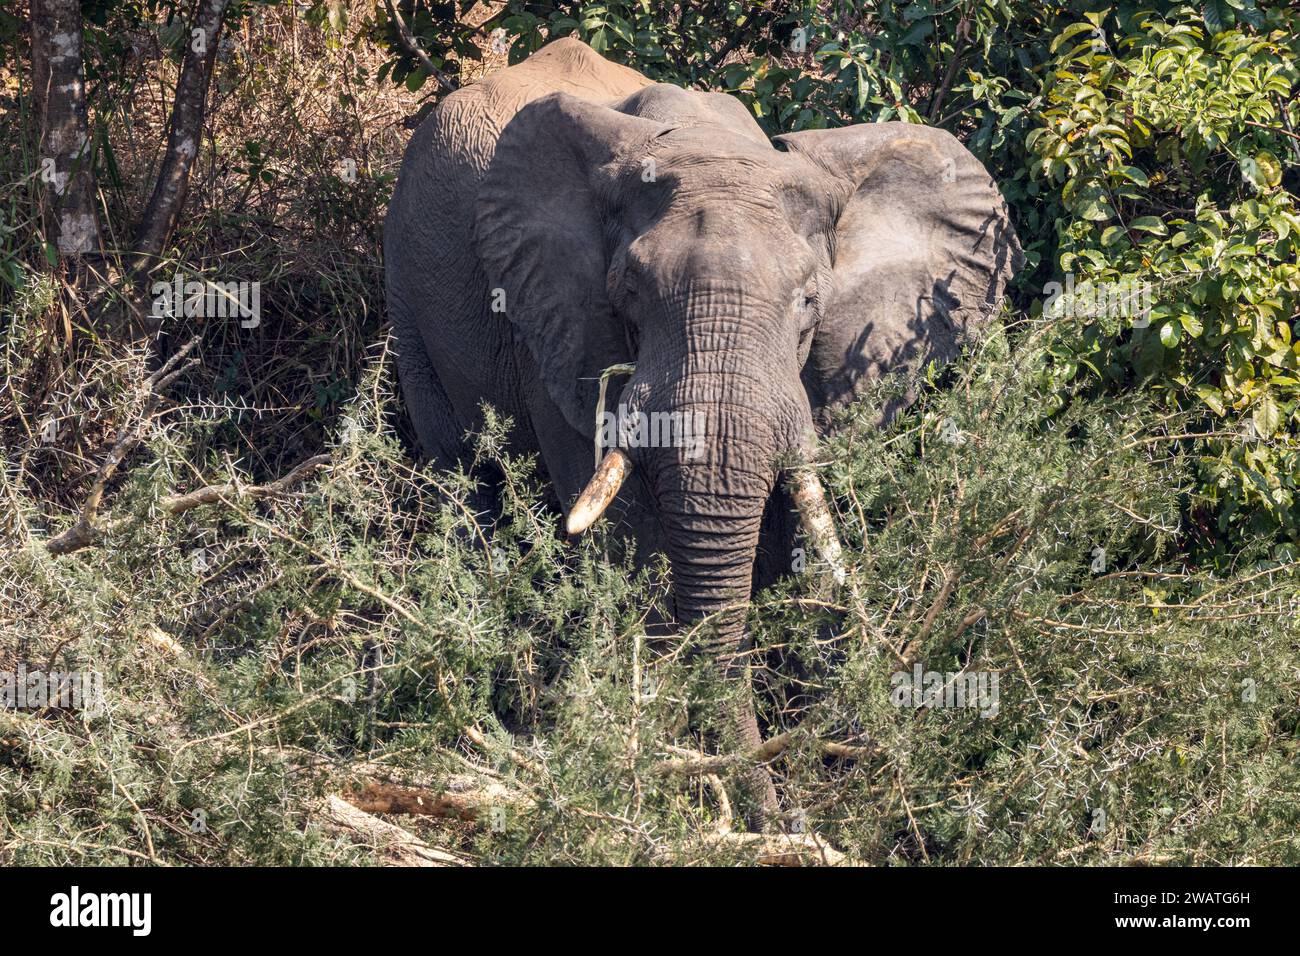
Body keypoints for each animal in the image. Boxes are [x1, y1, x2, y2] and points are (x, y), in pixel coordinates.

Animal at [384, 36, 1022, 830]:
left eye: (810, 303)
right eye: (627, 292)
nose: (781, 817)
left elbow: (799, 530)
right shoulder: (556, 323)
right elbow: (627, 534)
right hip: (407, 289)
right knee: (460, 478)